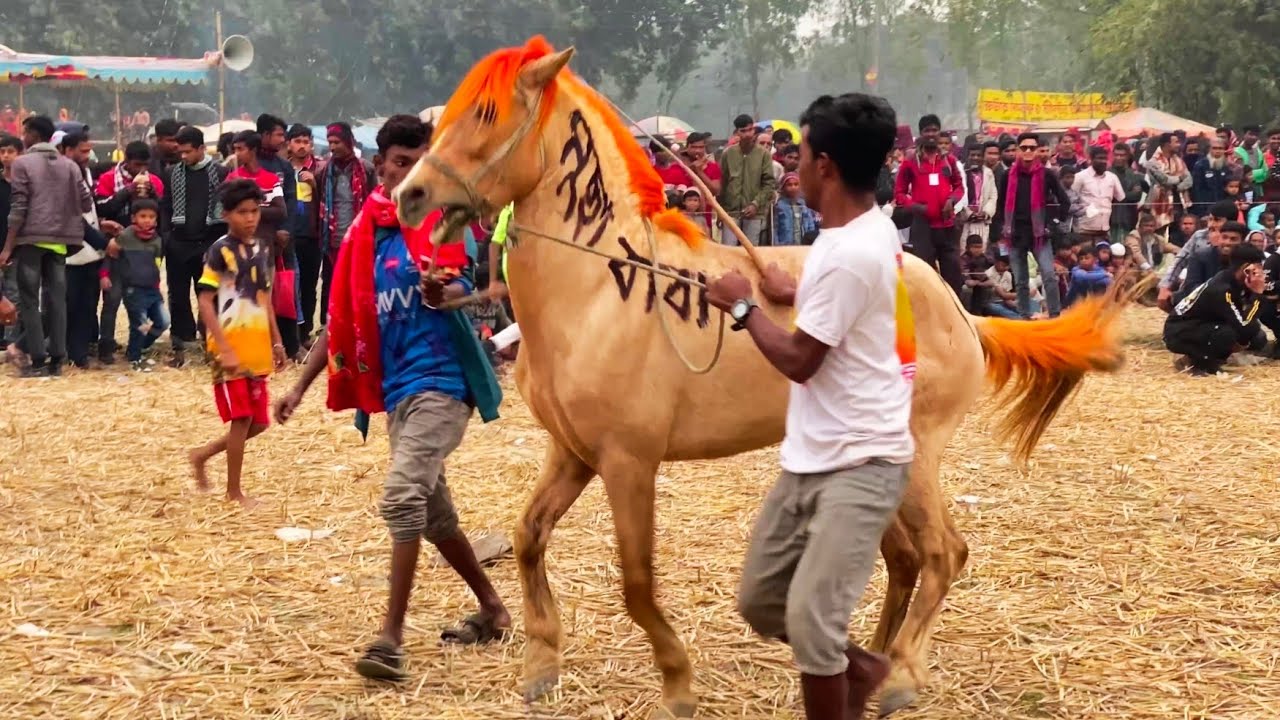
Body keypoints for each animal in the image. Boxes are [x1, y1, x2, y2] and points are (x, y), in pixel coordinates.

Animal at [395, 37, 1129, 717]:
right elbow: (527, 538)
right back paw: (868, 664)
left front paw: (677, 683)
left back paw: (899, 676)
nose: (410, 196)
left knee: (944, 553)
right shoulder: (572, 453)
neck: (600, 289)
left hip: (917, 458)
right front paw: (542, 666)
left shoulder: (629, 460)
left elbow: (636, 582)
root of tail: (958, 307)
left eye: (486, 112)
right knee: (903, 561)